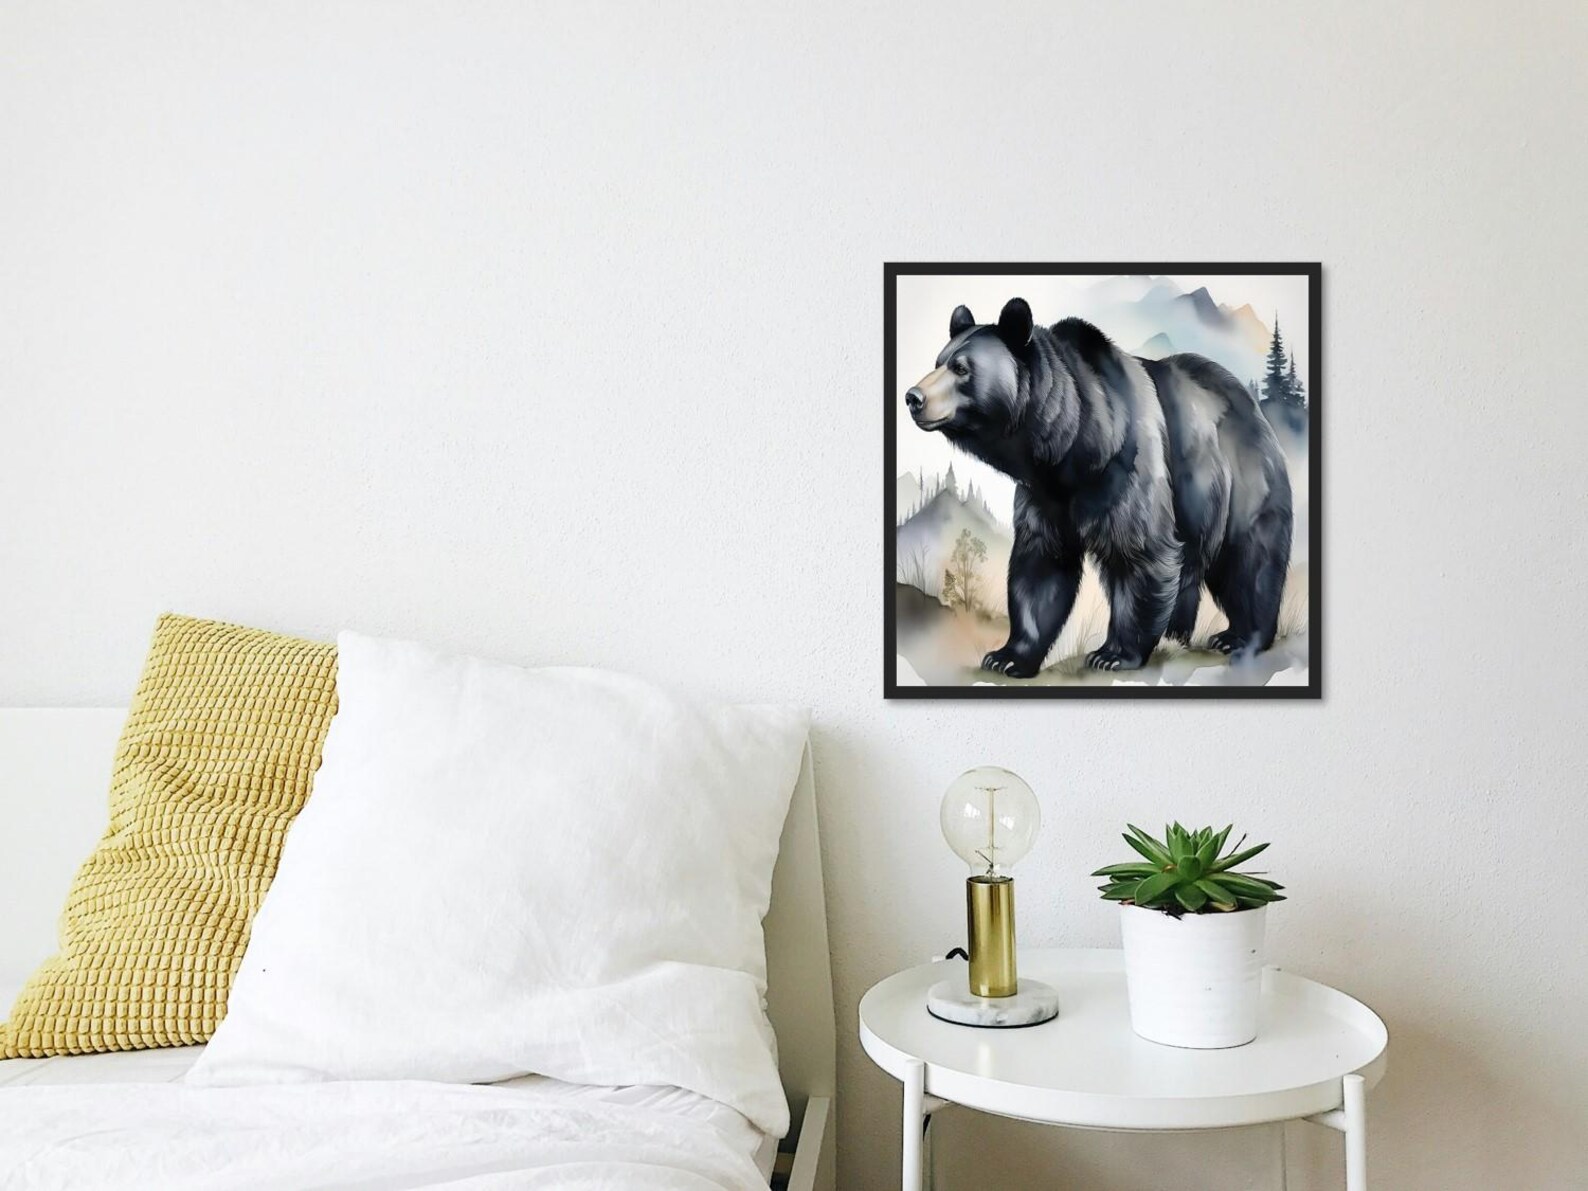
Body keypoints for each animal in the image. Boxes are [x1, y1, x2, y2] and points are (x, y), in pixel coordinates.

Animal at [904, 297, 1293, 678]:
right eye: (938, 361)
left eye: (961, 368)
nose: (913, 397)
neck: (1071, 448)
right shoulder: (1044, 496)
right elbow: (1040, 566)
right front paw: (1008, 657)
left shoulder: (1128, 468)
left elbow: (1141, 553)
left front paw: (1112, 654)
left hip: (1242, 481)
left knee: (1249, 562)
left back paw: (1240, 636)